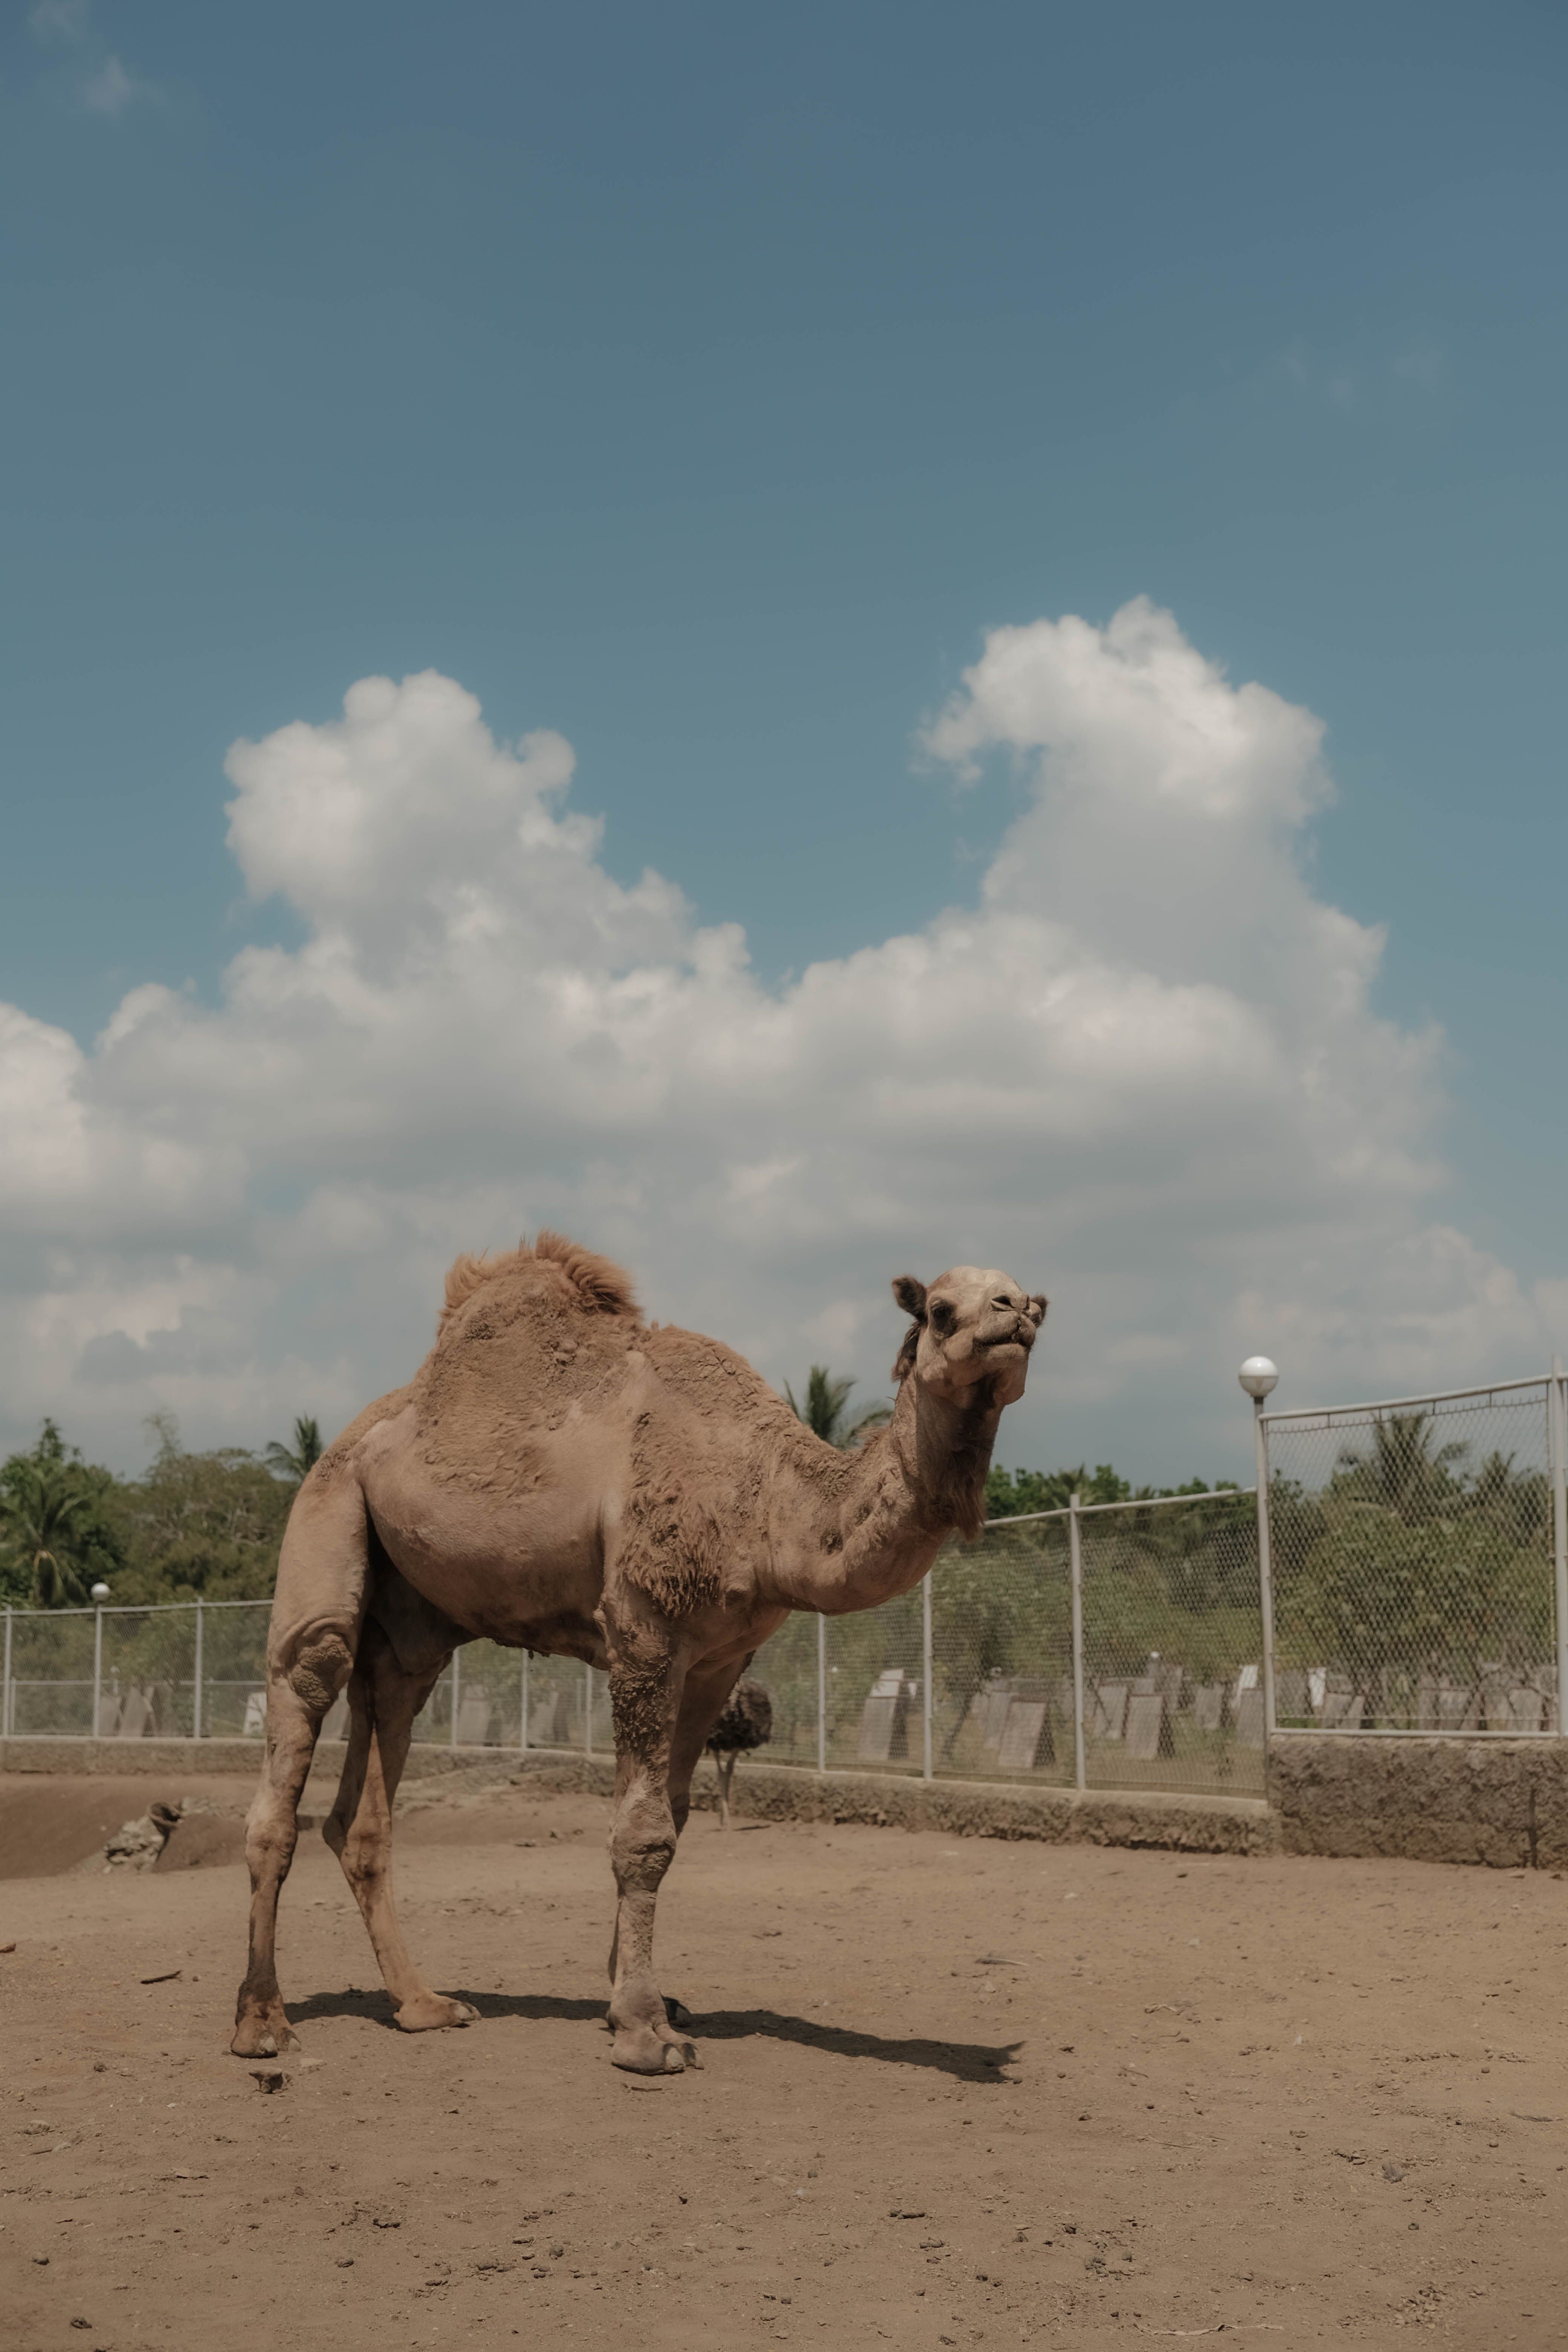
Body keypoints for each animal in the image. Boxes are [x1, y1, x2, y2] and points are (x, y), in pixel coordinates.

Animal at [232, 1234, 1046, 2076]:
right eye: (941, 1309)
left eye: (1033, 1304)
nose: (1014, 1315)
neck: (766, 1502)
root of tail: (350, 1440)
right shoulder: (643, 1629)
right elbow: (643, 1831)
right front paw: (646, 2032)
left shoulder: (718, 1661)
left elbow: (673, 1819)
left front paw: (631, 1999)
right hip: (326, 1518)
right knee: (300, 1712)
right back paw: (264, 2024)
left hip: (411, 1622)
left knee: (370, 1776)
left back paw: (424, 2006)